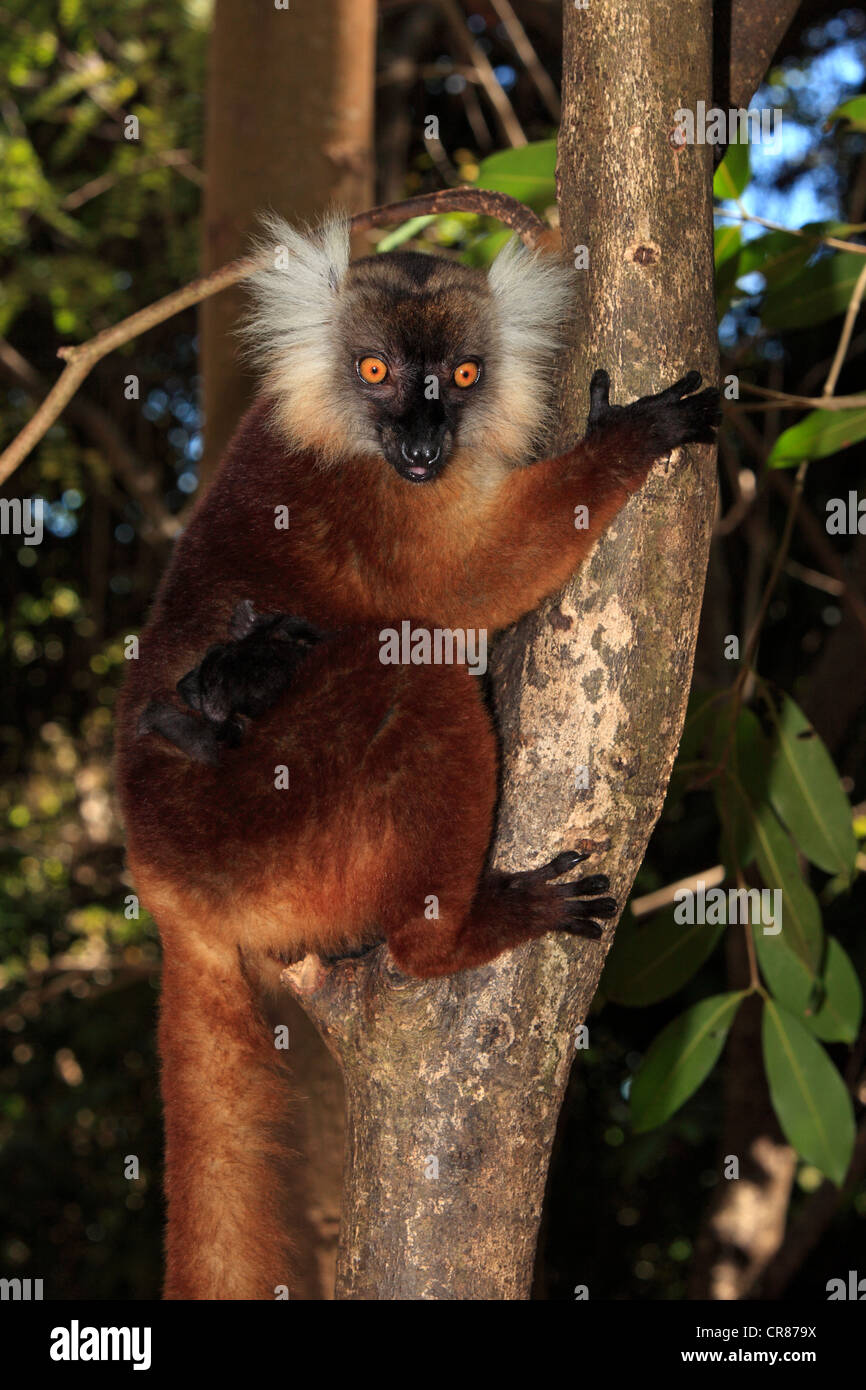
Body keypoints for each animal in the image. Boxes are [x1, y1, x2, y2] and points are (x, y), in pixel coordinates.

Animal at [136, 599, 328, 765]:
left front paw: (158, 715)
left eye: (204, 689)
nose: (183, 684)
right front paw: (250, 624)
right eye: (209, 656)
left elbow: (210, 751)